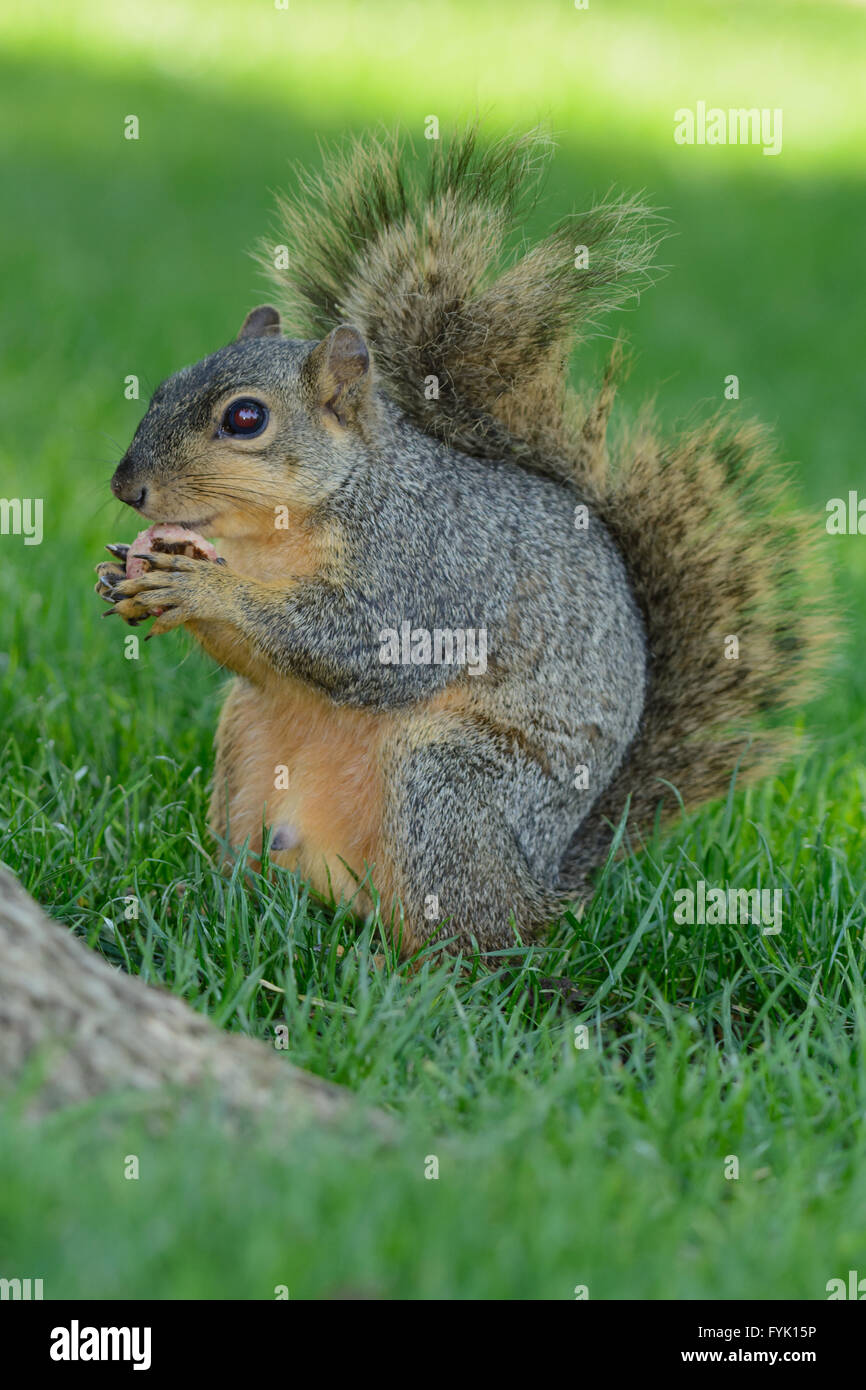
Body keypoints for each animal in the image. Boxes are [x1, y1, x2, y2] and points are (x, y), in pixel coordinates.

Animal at [95, 127, 831, 958]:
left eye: (244, 419)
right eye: (161, 388)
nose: (126, 487)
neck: (283, 532)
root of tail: (546, 884)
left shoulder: (428, 566)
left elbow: (365, 650)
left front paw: (198, 587)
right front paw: (131, 577)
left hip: (449, 782)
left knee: (471, 933)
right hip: (247, 743)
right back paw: (218, 902)